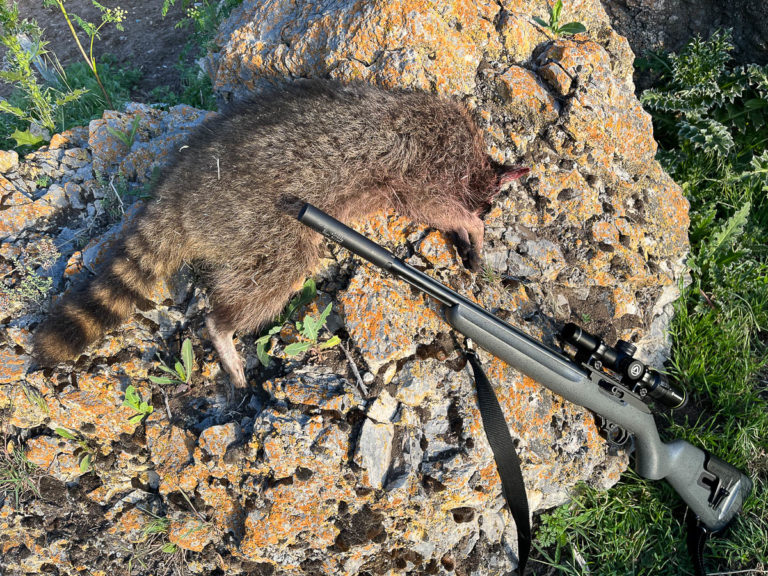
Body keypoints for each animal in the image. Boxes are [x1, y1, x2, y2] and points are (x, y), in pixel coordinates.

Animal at [33, 80, 523, 389]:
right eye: (489, 205)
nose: (487, 210)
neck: (474, 158)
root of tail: (176, 192)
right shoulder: (425, 164)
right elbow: (434, 207)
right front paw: (473, 228)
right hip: (259, 220)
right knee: (270, 279)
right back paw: (223, 329)